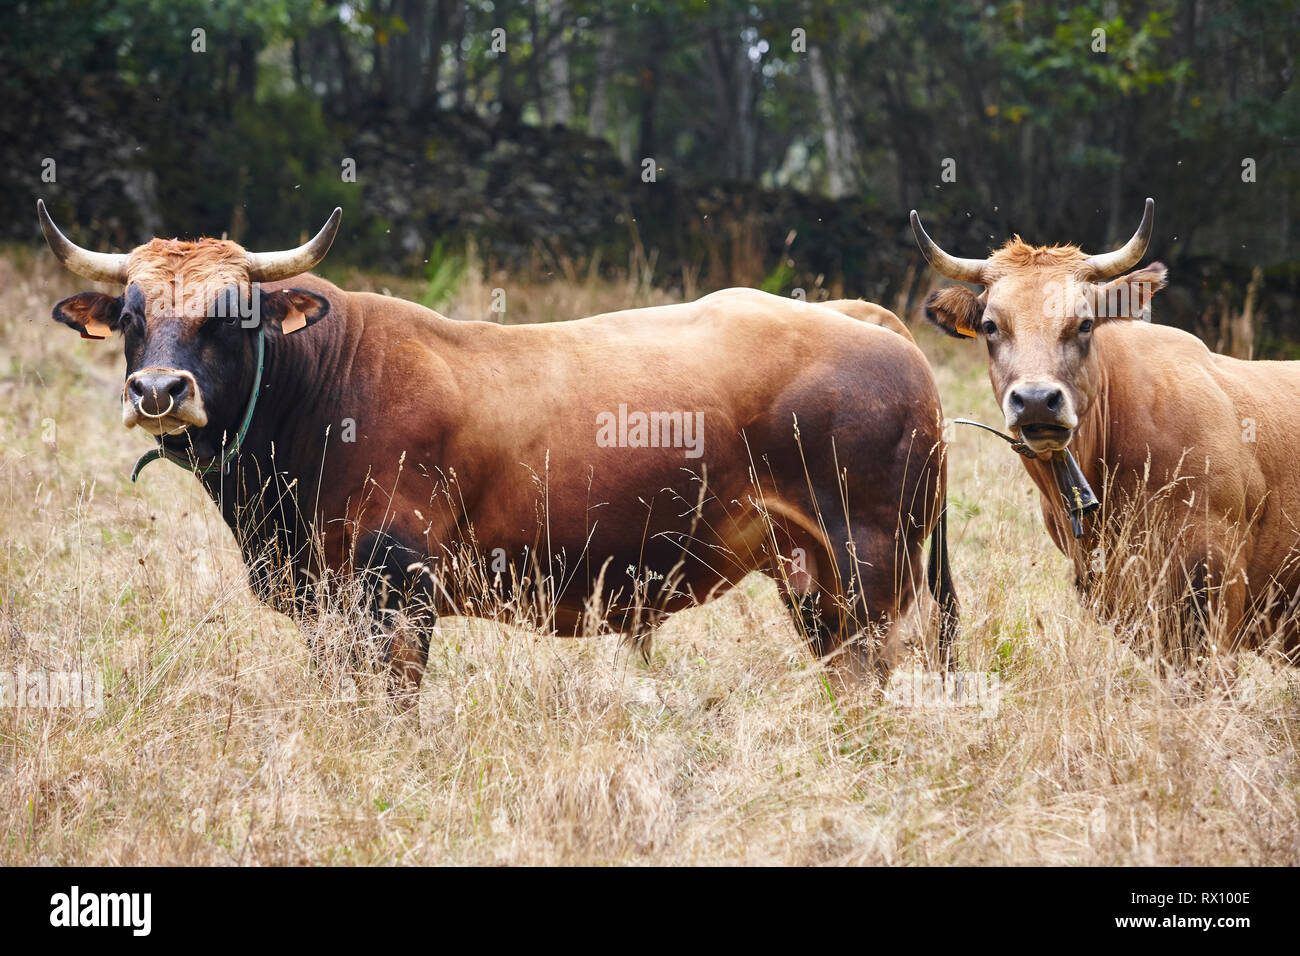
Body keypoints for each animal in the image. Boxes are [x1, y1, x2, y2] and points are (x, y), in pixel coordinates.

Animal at [38, 199, 958, 702]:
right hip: (812, 579)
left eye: (230, 315)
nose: (159, 391)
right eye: (131, 316)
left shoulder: (394, 587)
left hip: (877, 562)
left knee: (888, 661)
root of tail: (862, 318)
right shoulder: (323, 601)